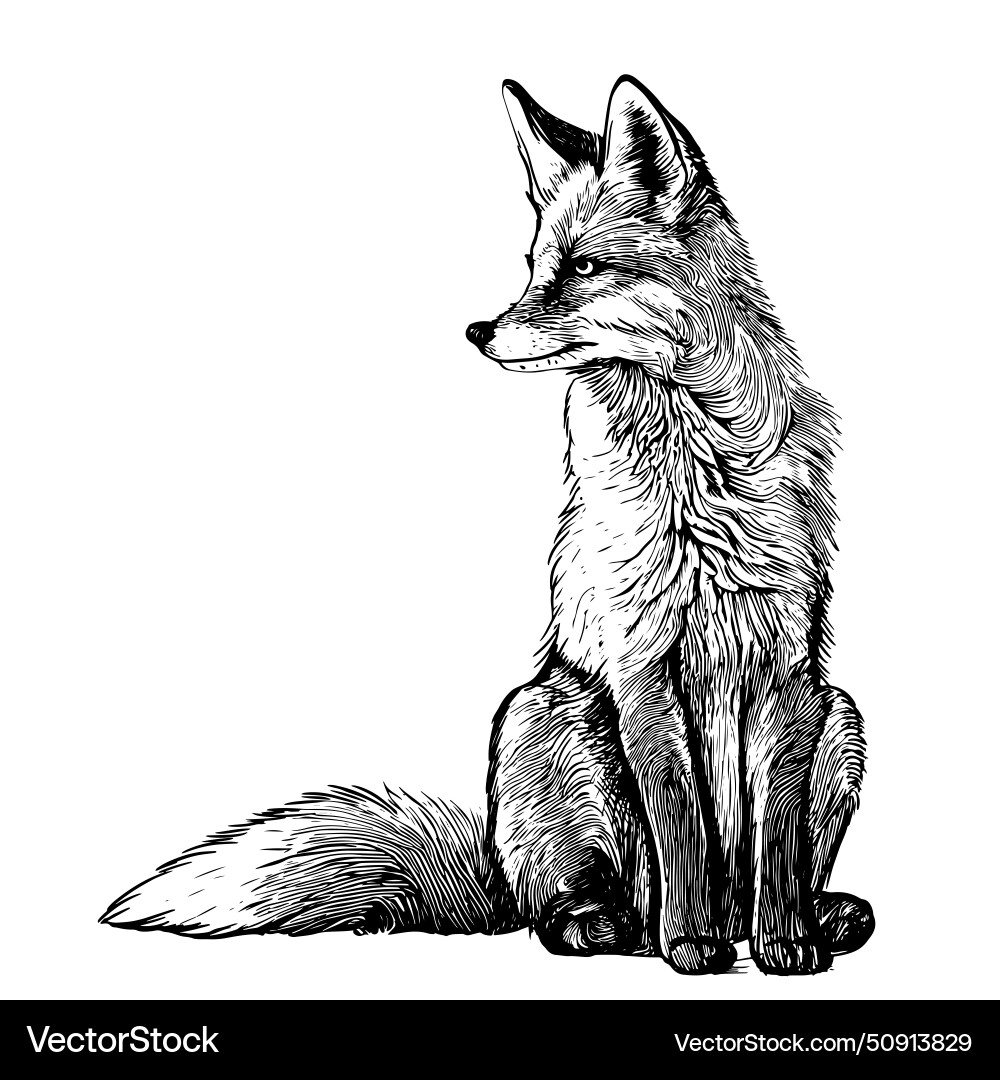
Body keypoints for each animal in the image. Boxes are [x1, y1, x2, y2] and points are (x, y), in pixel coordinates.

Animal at [101, 75, 874, 976]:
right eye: (533, 268)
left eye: (583, 267)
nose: (478, 330)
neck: (698, 472)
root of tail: (492, 879)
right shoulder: (642, 668)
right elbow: (681, 826)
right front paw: (694, 944)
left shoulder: (789, 665)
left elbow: (776, 837)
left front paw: (785, 942)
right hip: (545, 714)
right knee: (572, 908)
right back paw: (626, 926)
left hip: (843, 716)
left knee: (756, 873)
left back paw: (816, 917)